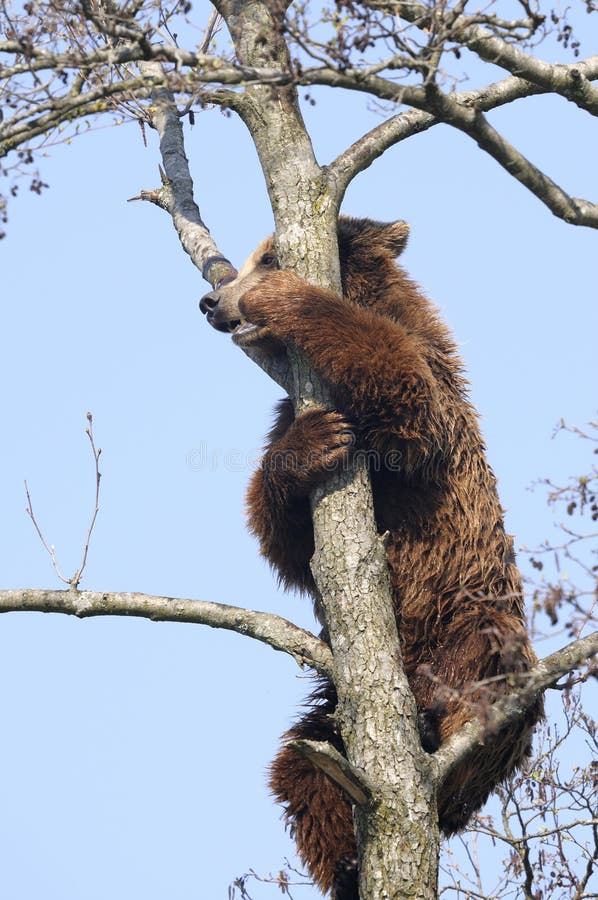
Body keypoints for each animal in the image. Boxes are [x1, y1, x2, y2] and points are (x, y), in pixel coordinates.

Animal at [199, 217, 543, 900]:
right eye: (244, 259)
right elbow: (284, 536)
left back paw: (442, 723)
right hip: (333, 713)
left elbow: (400, 379)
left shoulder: (431, 419)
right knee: (299, 770)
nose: (213, 301)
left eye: (266, 257)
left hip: (469, 619)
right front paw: (314, 444)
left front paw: (287, 298)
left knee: (490, 664)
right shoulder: (293, 410)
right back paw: (348, 863)